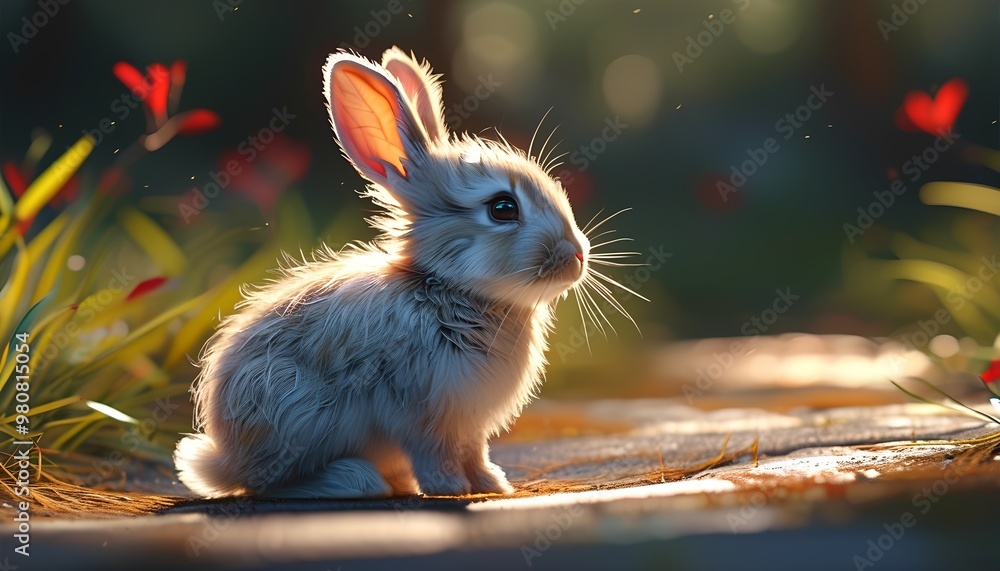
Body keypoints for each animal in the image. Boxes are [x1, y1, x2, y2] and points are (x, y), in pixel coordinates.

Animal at [174, 47, 634, 498]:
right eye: (503, 208)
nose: (577, 256)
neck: (454, 290)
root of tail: (222, 460)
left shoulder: (469, 425)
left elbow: (475, 451)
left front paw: (493, 484)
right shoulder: (422, 414)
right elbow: (434, 452)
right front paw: (449, 487)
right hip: (293, 413)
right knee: (268, 484)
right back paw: (356, 479)